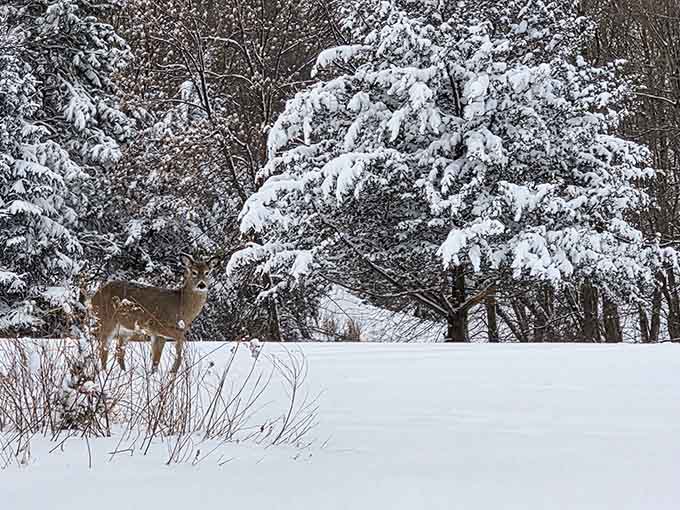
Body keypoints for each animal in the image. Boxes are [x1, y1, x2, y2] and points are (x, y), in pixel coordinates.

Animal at [88, 253, 218, 373]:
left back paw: (123, 372)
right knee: (103, 348)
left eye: (207, 272)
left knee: (119, 352)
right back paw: (103, 372)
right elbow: (177, 345)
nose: (201, 285)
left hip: (125, 330)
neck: (181, 306)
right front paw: (172, 370)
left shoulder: (158, 334)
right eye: (194, 272)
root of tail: (94, 297)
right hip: (107, 319)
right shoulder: (158, 326)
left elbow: (156, 361)